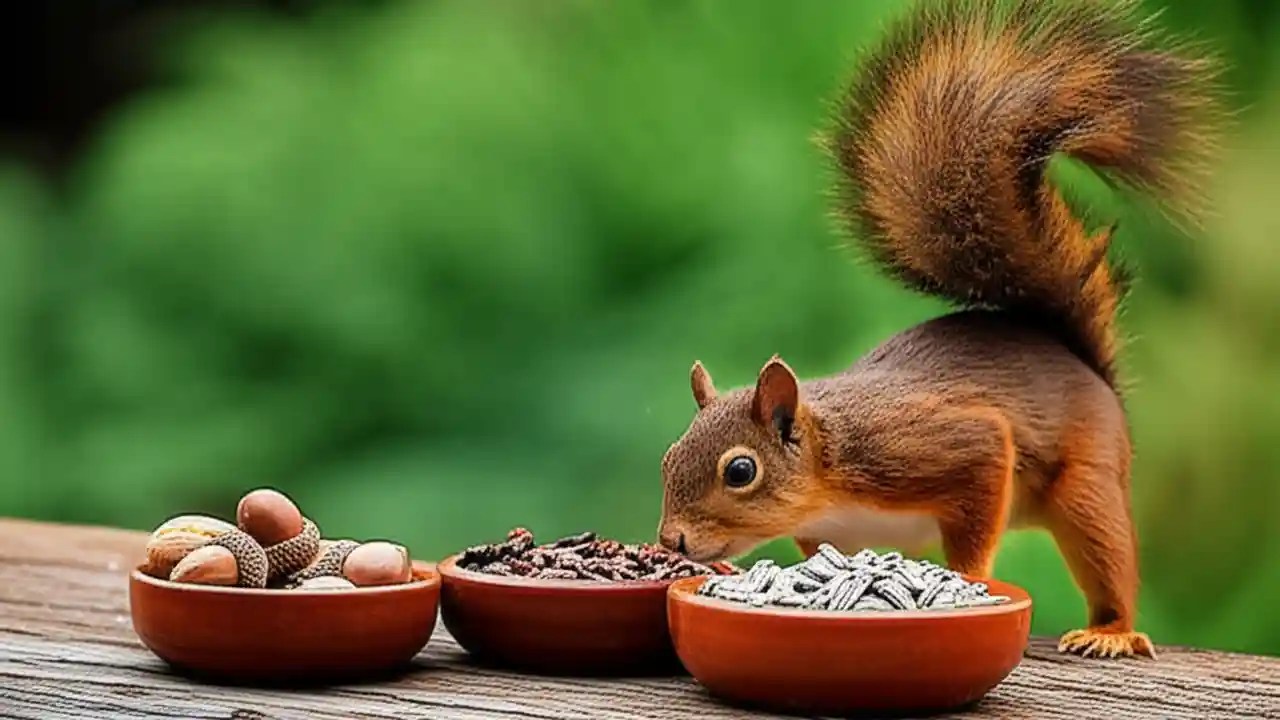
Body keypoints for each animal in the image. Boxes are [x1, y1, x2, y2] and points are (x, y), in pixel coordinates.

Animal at [657, 0, 1223, 660]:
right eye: (669, 457)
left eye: (741, 471)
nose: (671, 542)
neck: (831, 464)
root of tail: (1082, 362)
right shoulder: (832, 535)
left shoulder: (940, 446)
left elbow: (981, 486)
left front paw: (967, 582)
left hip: (1088, 482)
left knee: (1107, 553)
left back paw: (1111, 632)